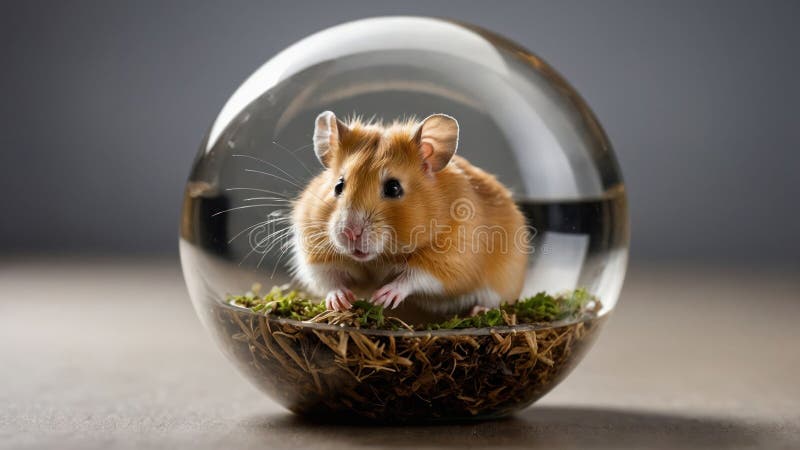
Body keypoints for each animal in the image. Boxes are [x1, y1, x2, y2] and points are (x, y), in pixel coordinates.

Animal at [290, 111, 528, 316]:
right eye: (339, 186)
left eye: (393, 188)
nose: (350, 233)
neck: (380, 257)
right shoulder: (313, 251)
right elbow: (328, 279)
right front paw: (340, 301)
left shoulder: (452, 260)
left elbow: (414, 277)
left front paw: (382, 296)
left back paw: (480, 311)